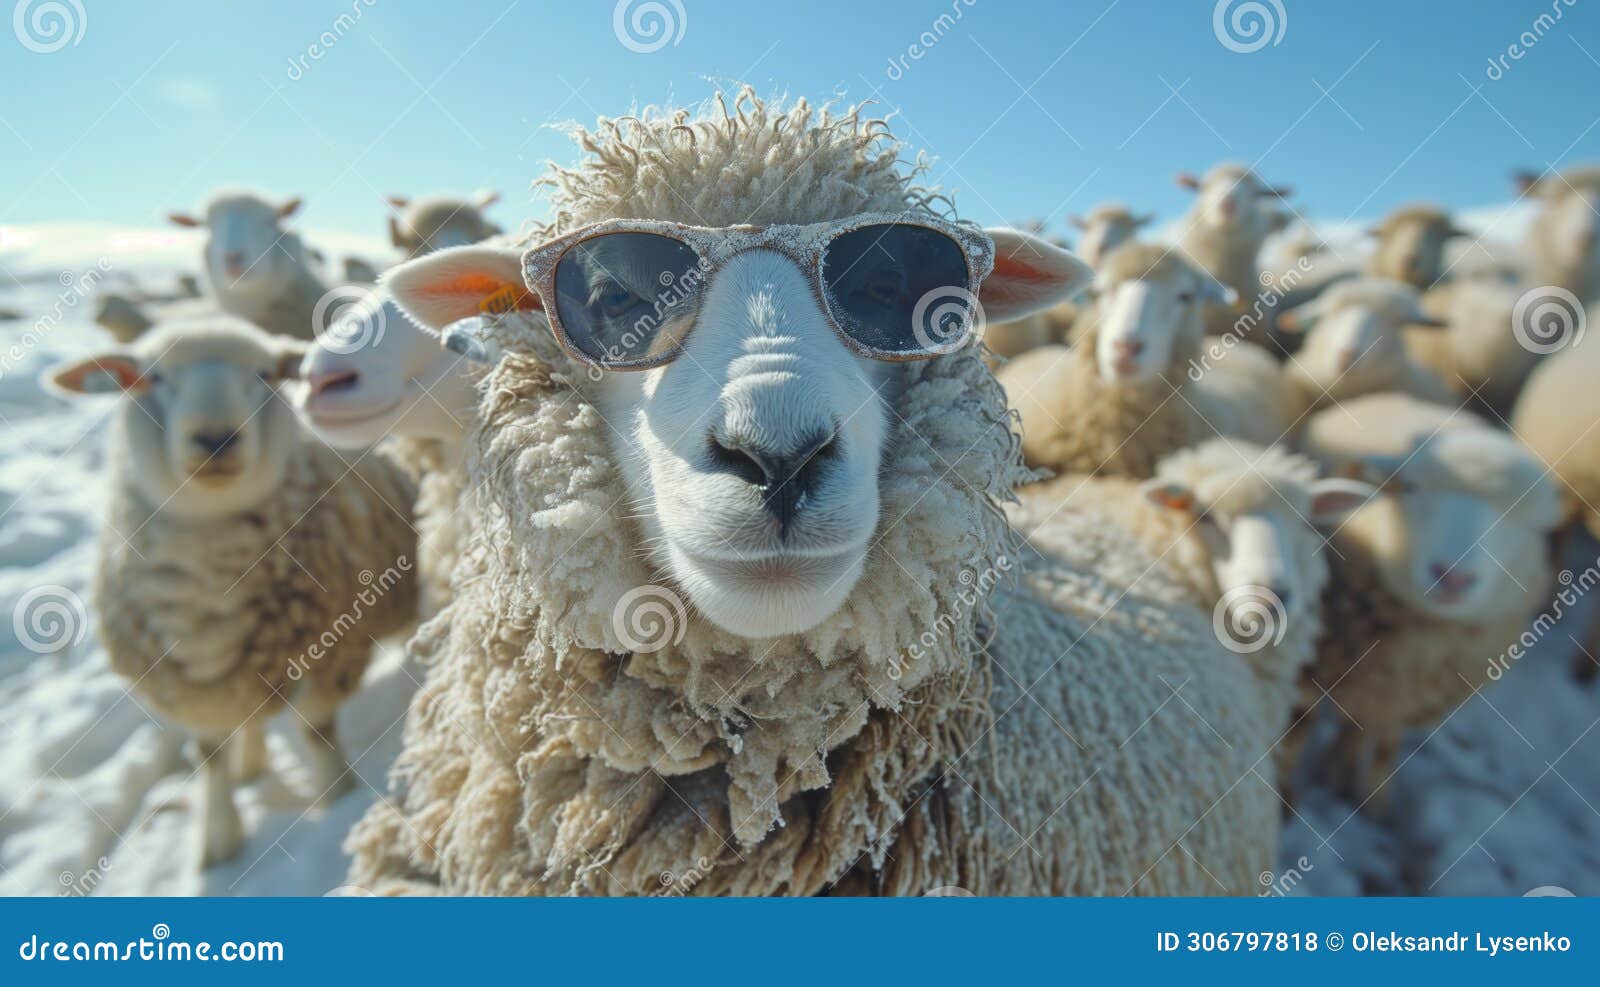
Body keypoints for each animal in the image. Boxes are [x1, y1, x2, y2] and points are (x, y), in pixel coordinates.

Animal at [43, 316, 419, 866]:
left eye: (265, 374)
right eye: (152, 378)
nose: (216, 438)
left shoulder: (337, 652)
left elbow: (314, 730)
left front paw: (337, 797)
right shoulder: (190, 687)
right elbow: (209, 756)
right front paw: (220, 837)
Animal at [1292, 396, 1559, 804]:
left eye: (1519, 516)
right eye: (1412, 488)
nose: (1453, 577)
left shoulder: (1403, 698)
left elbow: (1382, 745)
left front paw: (1367, 800)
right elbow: (1295, 735)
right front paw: (1285, 799)